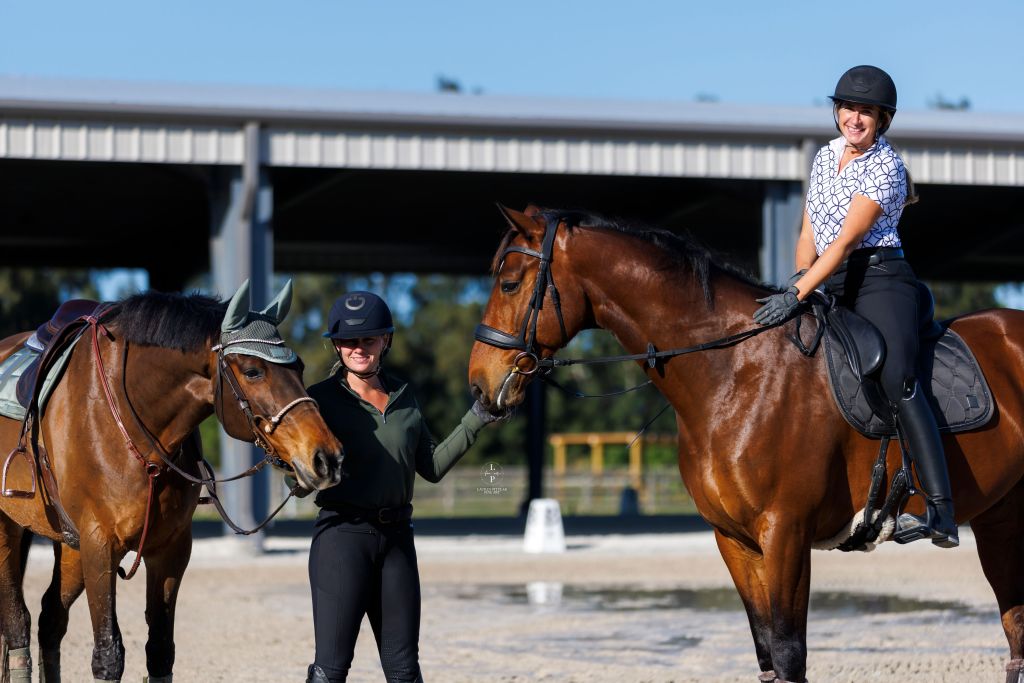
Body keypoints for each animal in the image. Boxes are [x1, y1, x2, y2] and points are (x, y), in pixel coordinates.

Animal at [0, 280, 344, 682]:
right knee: (17, 621)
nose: (327, 457)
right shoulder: (99, 543)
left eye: (300, 366)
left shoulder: (169, 549)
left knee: (50, 618)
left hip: (69, 545)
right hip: (13, 530)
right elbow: (108, 654)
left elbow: (161, 652)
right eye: (253, 370)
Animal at [468, 205, 1024, 683]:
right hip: (1000, 520)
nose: (480, 384)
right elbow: (766, 654)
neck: (734, 371)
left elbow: (789, 654)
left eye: (509, 283)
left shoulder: (785, 534)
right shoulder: (734, 539)